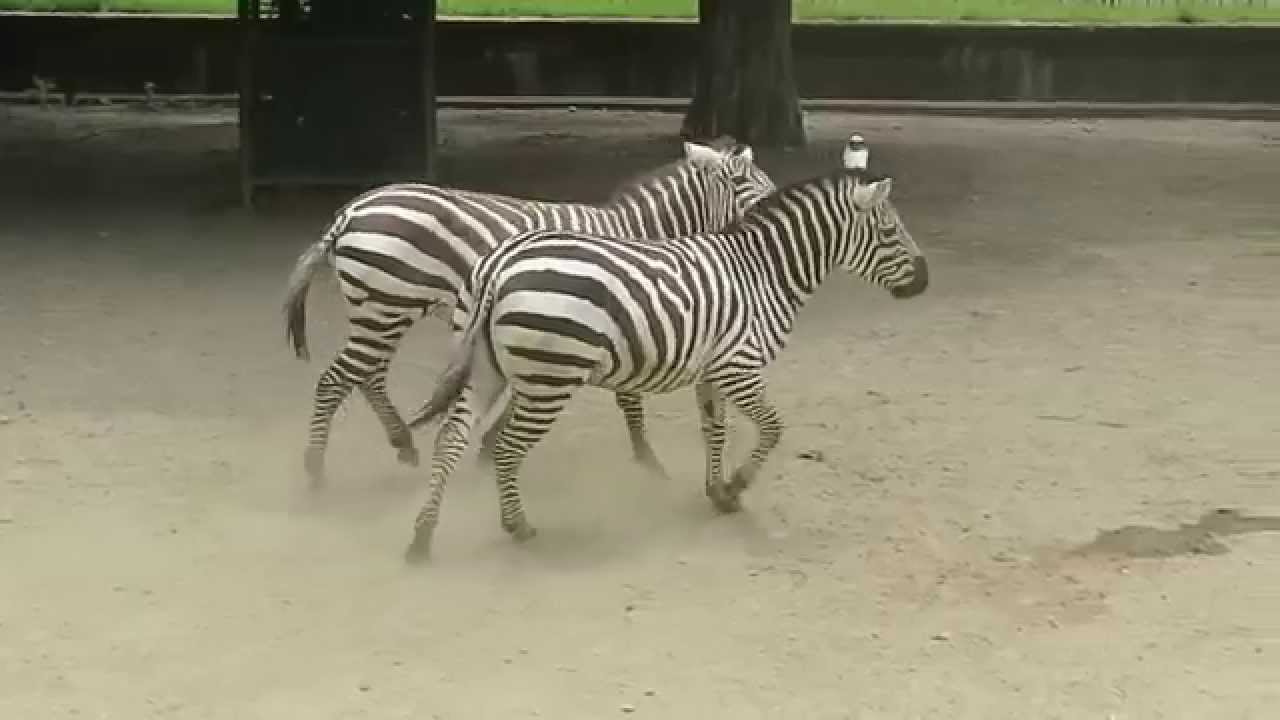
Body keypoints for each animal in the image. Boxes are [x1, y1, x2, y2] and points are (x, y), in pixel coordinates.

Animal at [281, 140, 776, 486]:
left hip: (381, 309)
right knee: (337, 380)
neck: (638, 233)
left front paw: (488, 447)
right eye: (745, 187)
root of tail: (349, 213)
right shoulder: (621, 317)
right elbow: (629, 397)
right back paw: (315, 473)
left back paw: (401, 443)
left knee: (367, 376)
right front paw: (648, 461)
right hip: (386, 308)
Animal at [401, 134, 929, 562]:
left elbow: (714, 431)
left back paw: (422, 537)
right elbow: (773, 429)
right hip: (549, 378)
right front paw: (736, 486)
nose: (925, 282)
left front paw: (717, 490)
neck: (764, 271)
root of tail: (502, 262)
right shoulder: (740, 367)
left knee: (451, 438)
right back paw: (516, 526)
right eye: (890, 230)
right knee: (507, 448)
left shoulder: (713, 371)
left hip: (488, 368)